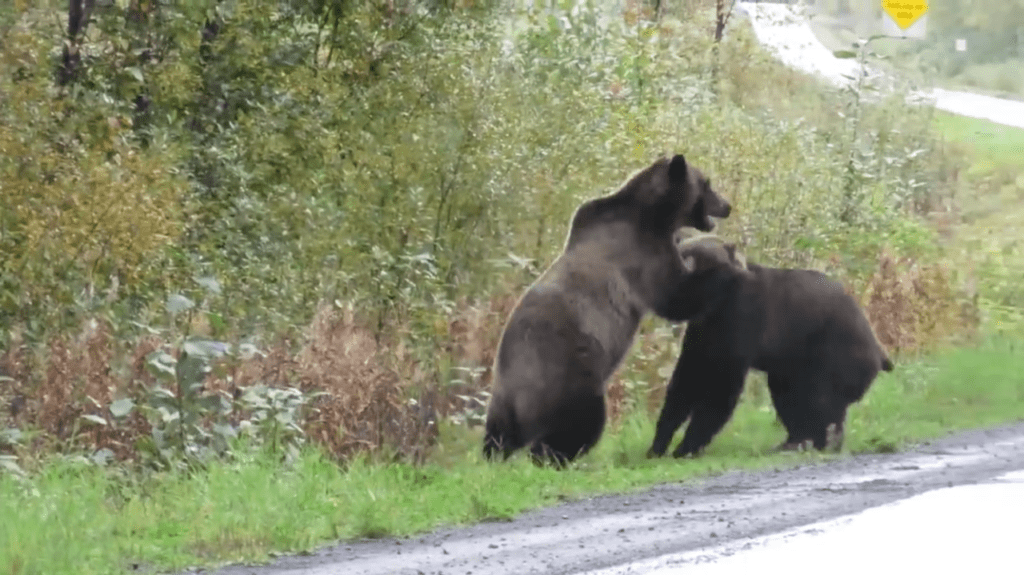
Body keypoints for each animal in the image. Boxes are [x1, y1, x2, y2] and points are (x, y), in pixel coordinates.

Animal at [482, 154, 732, 467]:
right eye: (707, 184)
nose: (727, 205)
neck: (655, 216)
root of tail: (516, 400)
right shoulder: (643, 256)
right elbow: (676, 294)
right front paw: (723, 266)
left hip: (500, 398)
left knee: (496, 437)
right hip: (569, 373)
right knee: (580, 421)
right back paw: (559, 456)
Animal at [647, 229, 894, 459]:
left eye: (689, 255)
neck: (715, 299)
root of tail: (879, 350)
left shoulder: (741, 318)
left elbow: (721, 387)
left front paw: (685, 447)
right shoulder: (704, 332)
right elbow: (686, 381)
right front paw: (657, 446)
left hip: (834, 353)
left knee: (821, 399)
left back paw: (819, 441)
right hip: (795, 364)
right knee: (789, 395)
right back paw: (793, 441)